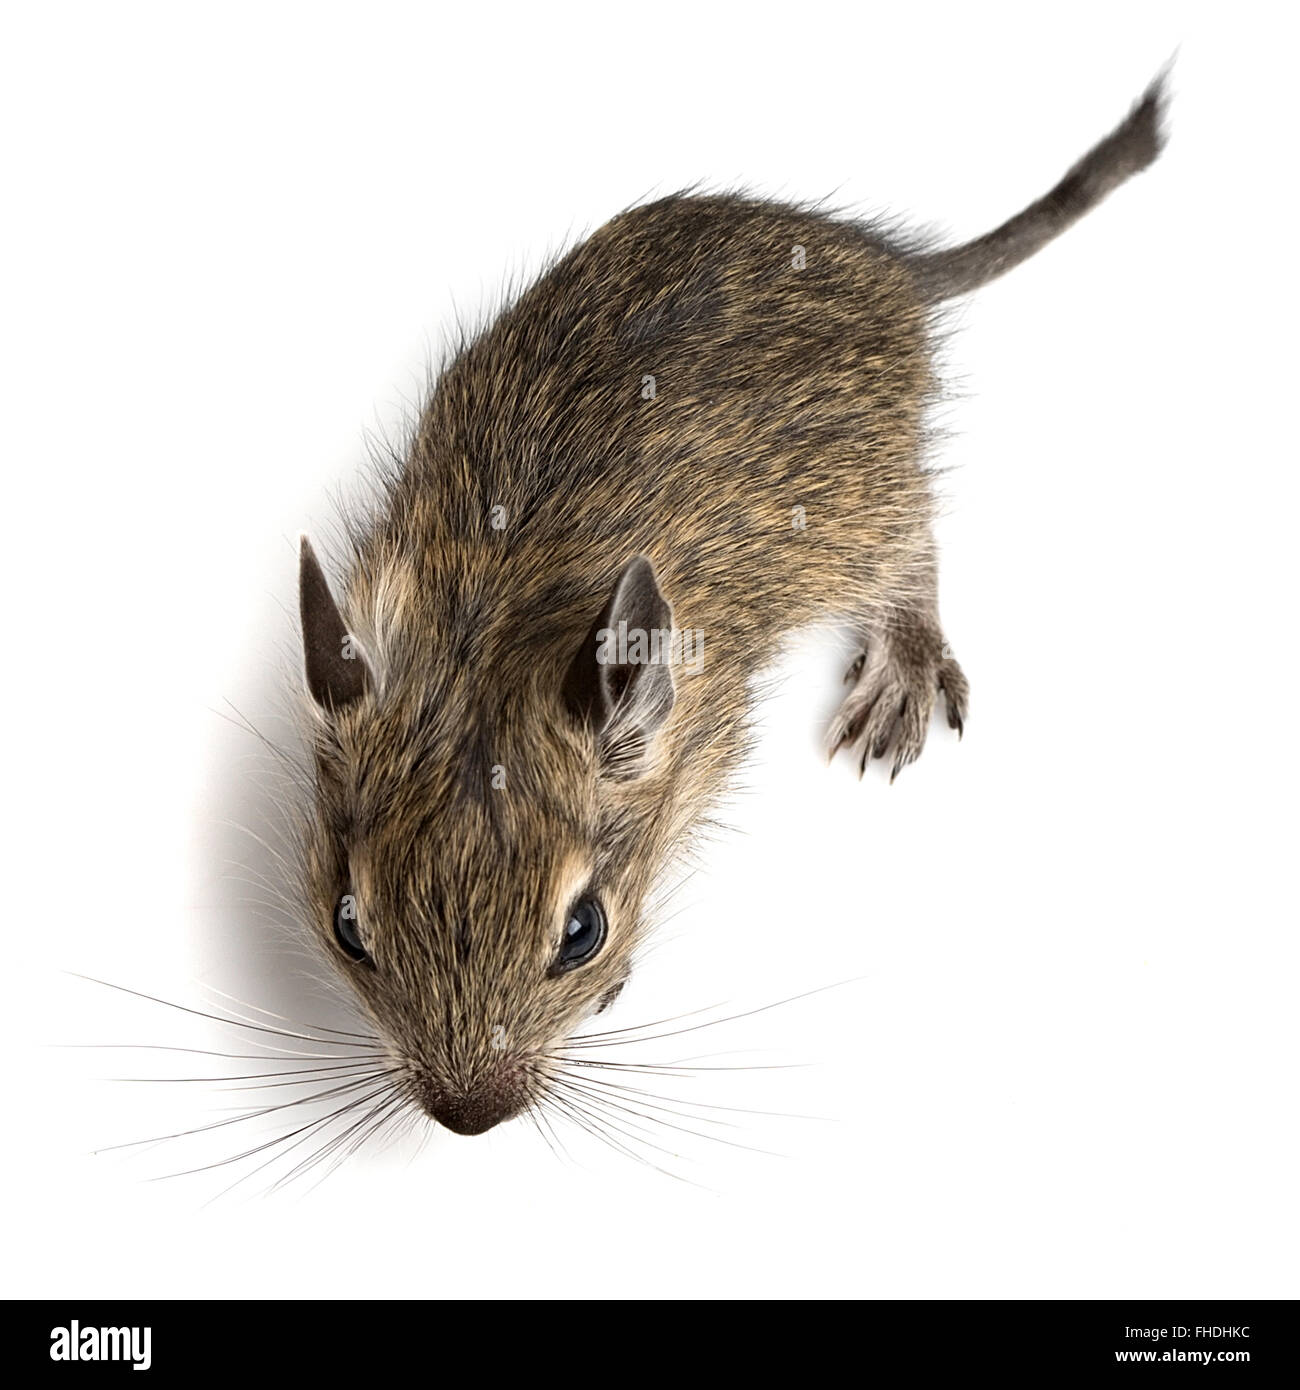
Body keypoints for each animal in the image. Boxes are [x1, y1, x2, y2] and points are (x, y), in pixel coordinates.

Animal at [294, 77, 1167, 1135]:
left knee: (918, 545)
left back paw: (901, 680)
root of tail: (896, 272)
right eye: (348, 925)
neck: (492, 628)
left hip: (862, 510)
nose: (469, 1121)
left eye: (583, 933)